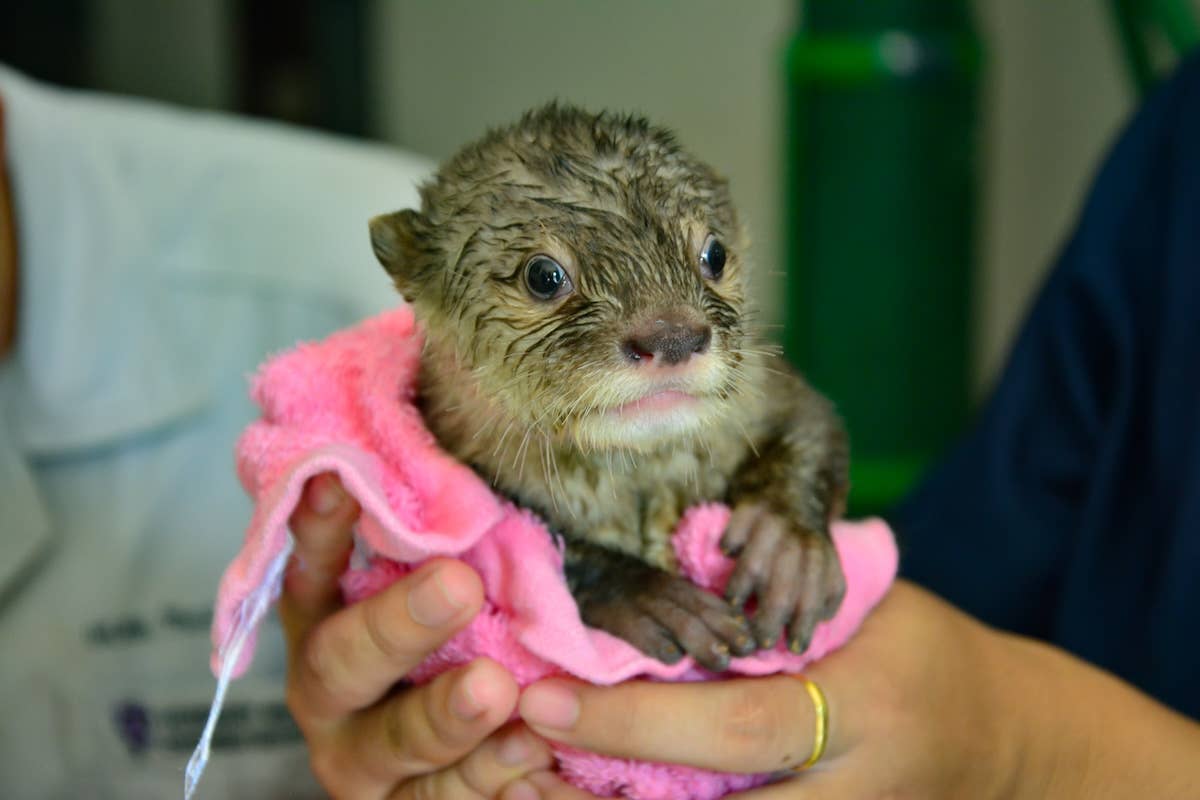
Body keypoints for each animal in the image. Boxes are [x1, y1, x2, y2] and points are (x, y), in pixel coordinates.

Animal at [369, 104, 848, 672]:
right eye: (544, 275)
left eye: (714, 254)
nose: (672, 335)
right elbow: (531, 547)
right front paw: (651, 597)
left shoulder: (763, 389)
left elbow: (814, 419)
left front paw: (785, 543)